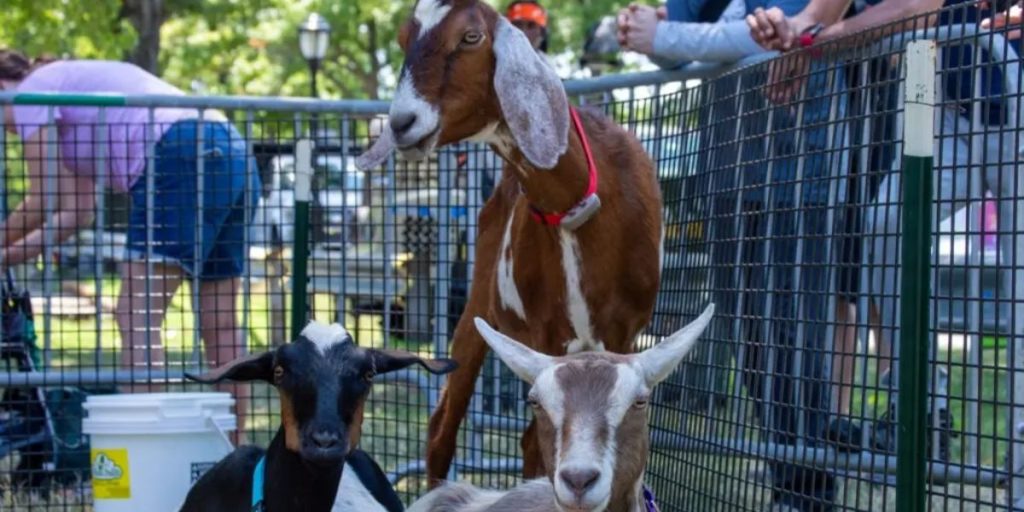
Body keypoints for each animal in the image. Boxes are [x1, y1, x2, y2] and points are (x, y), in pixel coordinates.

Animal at [357, 0, 663, 485]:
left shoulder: (625, 334)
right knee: (444, 425)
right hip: (476, 305)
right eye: (405, 39)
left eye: (471, 37)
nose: (403, 123)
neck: (582, 205)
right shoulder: (543, 334)